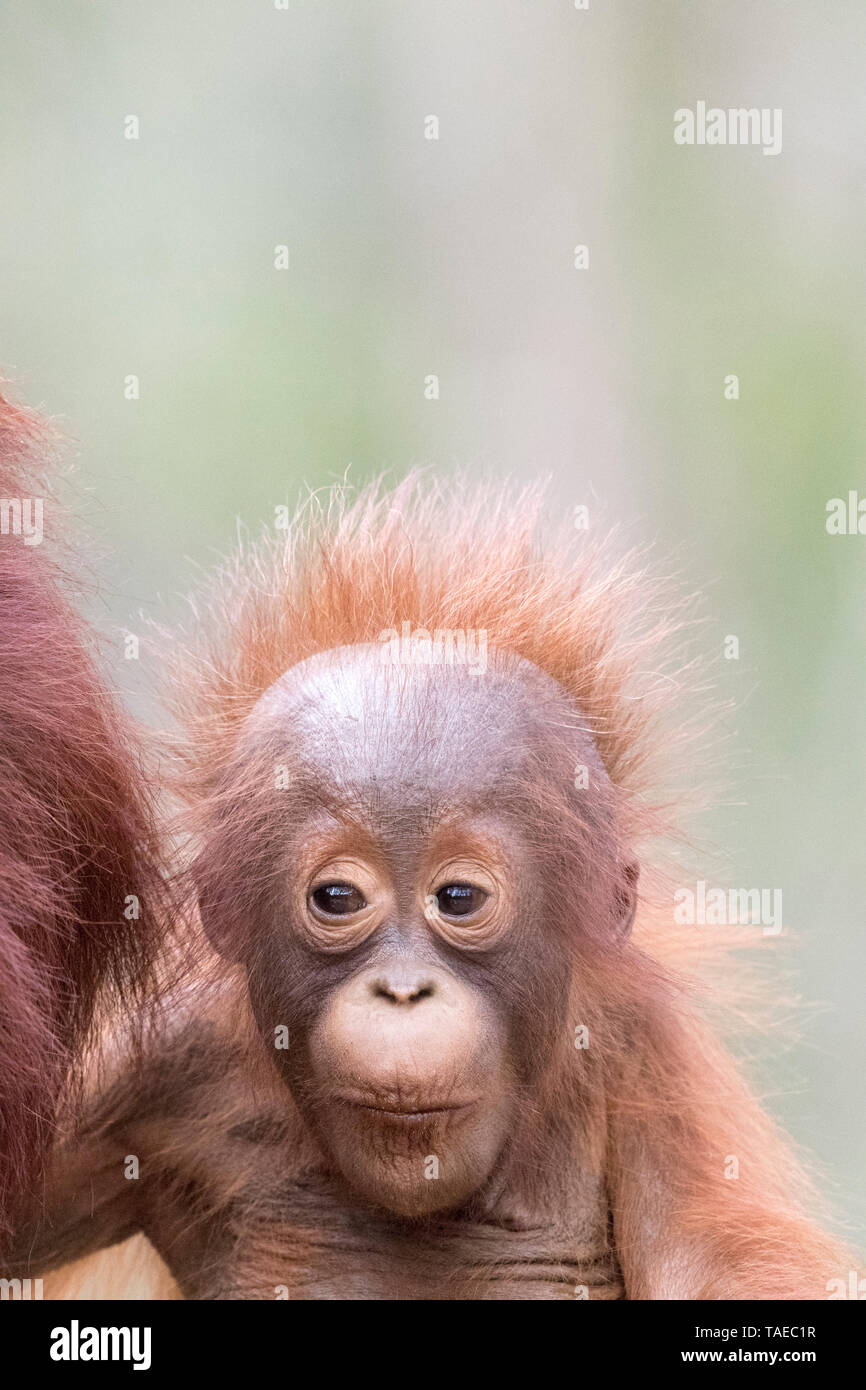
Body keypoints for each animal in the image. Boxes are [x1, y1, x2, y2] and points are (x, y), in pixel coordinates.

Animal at [3, 470, 853, 1299]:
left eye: (459, 899)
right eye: (337, 899)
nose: (404, 990)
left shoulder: (645, 1056)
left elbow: (708, 1263)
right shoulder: (162, 1069)